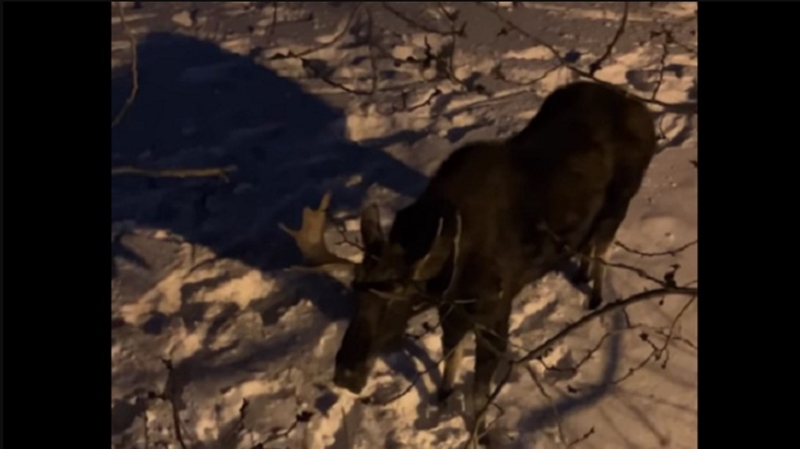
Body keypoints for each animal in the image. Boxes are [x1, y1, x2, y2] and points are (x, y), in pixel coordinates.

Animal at [280, 80, 658, 440]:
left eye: (398, 300)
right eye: (357, 292)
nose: (346, 373)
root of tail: (645, 115)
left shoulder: (494, 309)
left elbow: (478, 393)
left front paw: (480, 432)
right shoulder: (452, 306)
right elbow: (450, 352)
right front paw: (443, 396)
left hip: (619, 203)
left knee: (604, 247)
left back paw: (595, 296)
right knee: (589, 243)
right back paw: (580, 275)